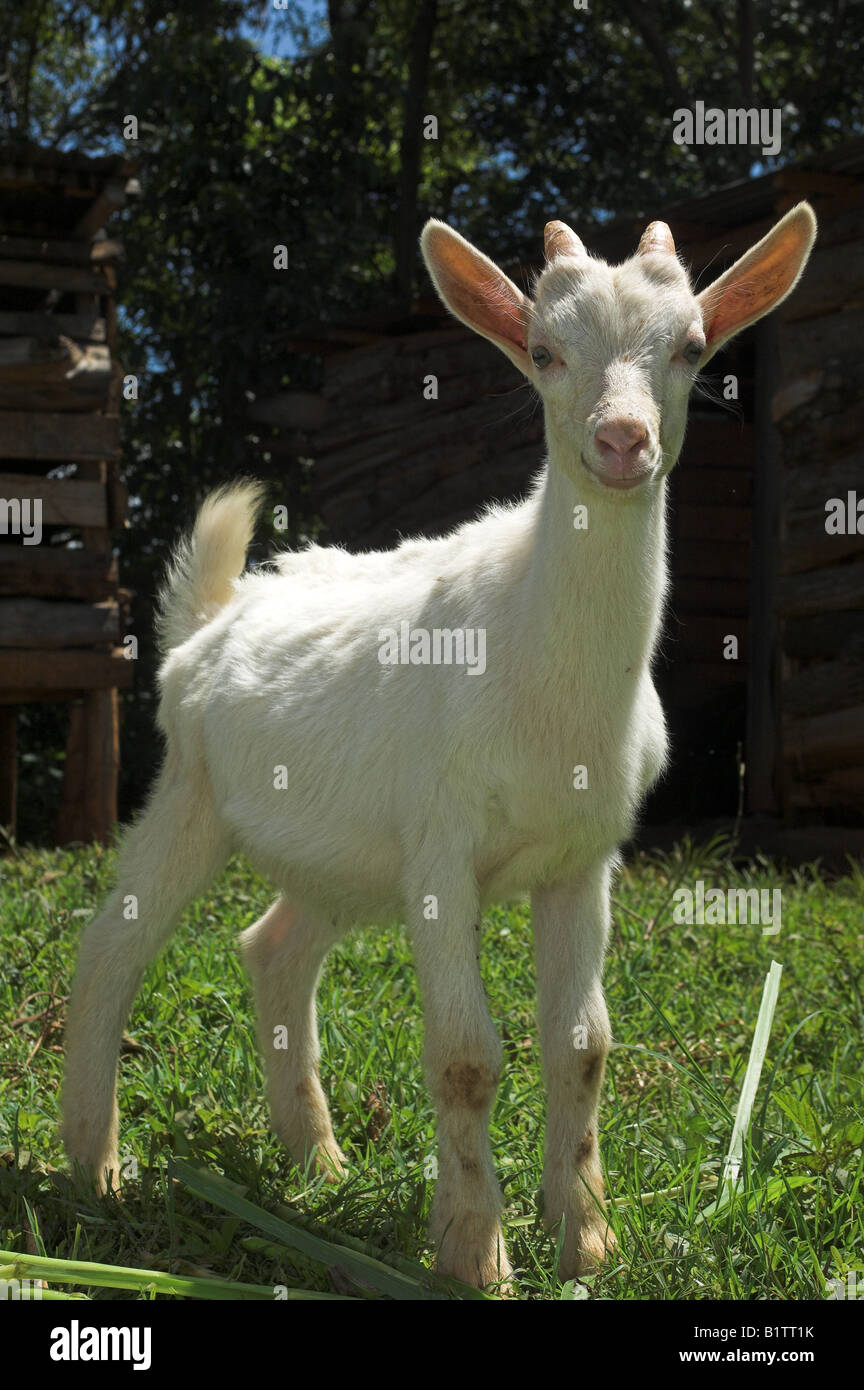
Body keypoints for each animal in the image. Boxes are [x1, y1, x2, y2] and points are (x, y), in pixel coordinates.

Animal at [62, 202, 815, 1288]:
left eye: (693, 348)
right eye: (543, 352)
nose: (622, 441)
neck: (547, 680)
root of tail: (217, 617)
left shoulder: (583, 857)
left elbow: (583, 1043)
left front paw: (587, 1241)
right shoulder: (440, 848)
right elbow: (465, 1056)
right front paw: (475, 1255)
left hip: (340, 855)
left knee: (276, 947)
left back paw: (318, 1163)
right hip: (191, 790)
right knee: (111, 948)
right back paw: (94, 1169)